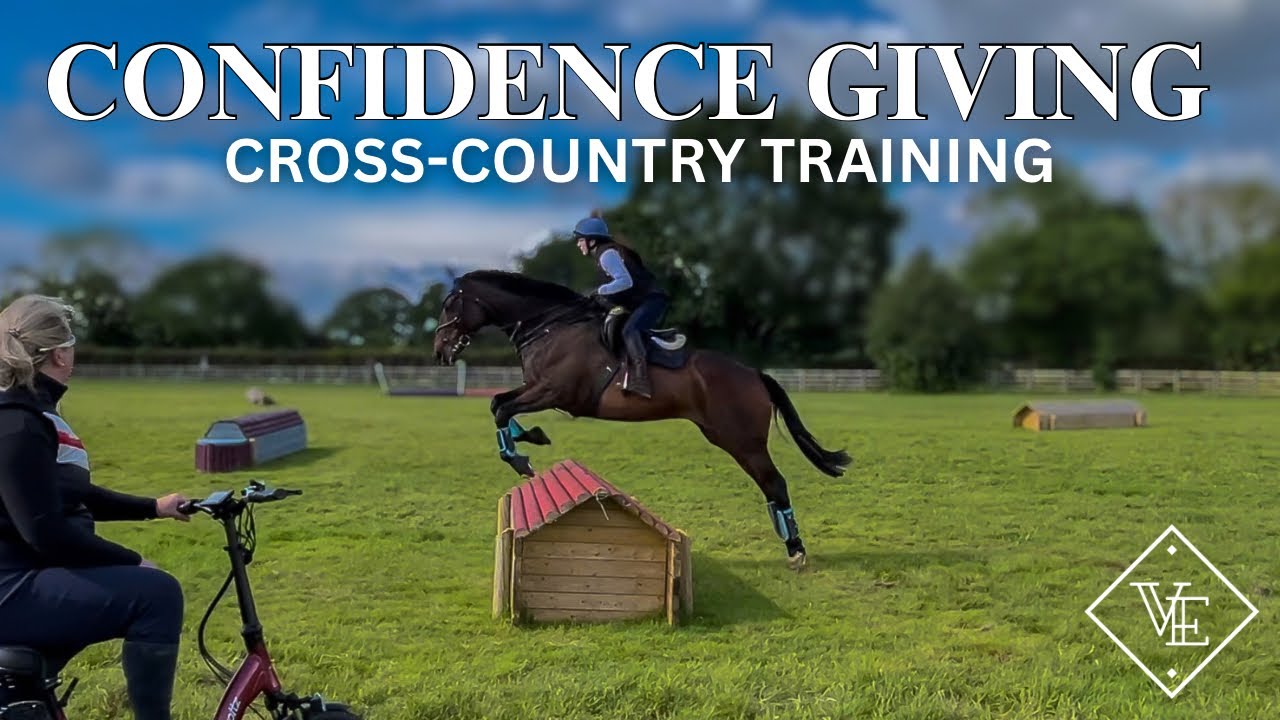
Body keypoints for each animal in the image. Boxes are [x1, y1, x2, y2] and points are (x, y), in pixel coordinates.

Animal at [432, 270, 850, 570]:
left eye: (451, 305)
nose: (439, 350)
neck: (550, 325)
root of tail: (753, 374)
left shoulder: (554, 392)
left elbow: (502, 409)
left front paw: (521, 458)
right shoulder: (535, 388)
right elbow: (498, 404)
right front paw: (531, 436)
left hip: (742, 441)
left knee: (774, 483)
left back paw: (795, 550)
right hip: (727, 437)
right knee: (770, 486)